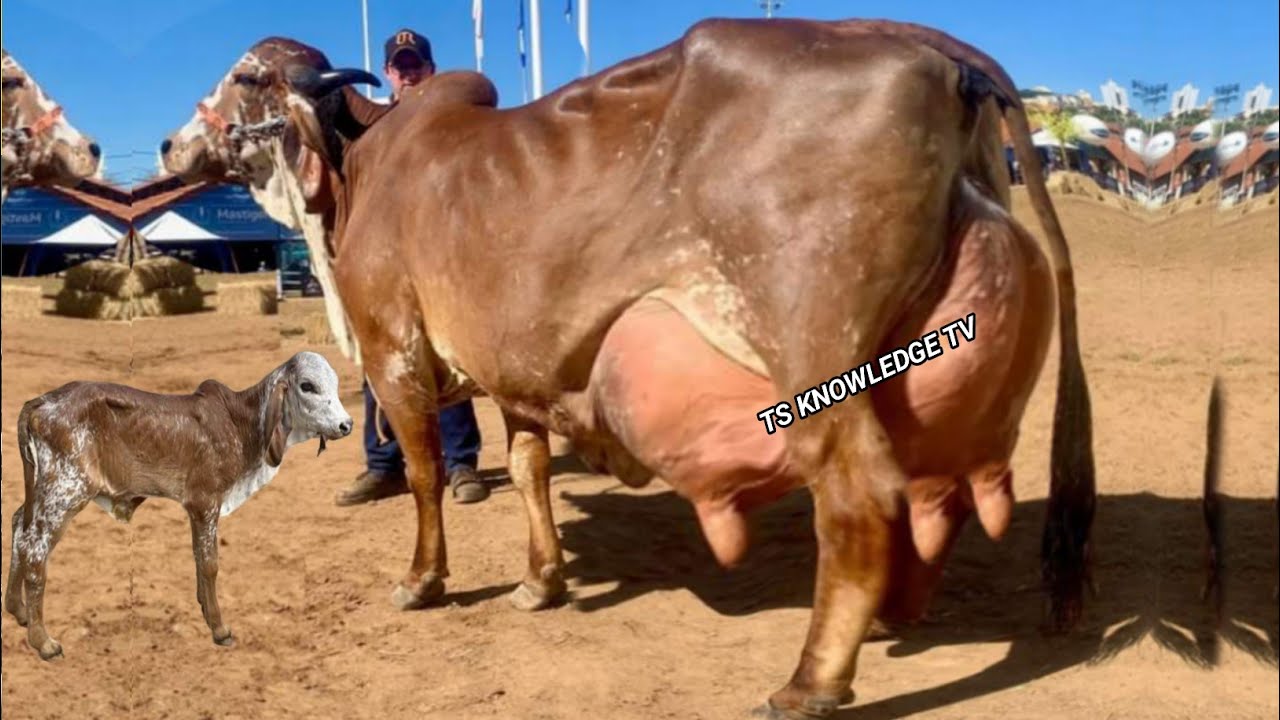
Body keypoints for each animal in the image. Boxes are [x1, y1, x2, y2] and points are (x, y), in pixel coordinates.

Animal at [159, 18, 1098, 718]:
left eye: (246, 75)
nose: (168, 143)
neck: (359, 170)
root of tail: (936, 52)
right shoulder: (517, 366)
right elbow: (530, 470)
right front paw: (540, 582)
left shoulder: (395, 353)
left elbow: (427, 478)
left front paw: (423, 581)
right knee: (935, 489)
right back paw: (894, 616)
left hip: (813, 351)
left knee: (864, 498)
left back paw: (810, 682)